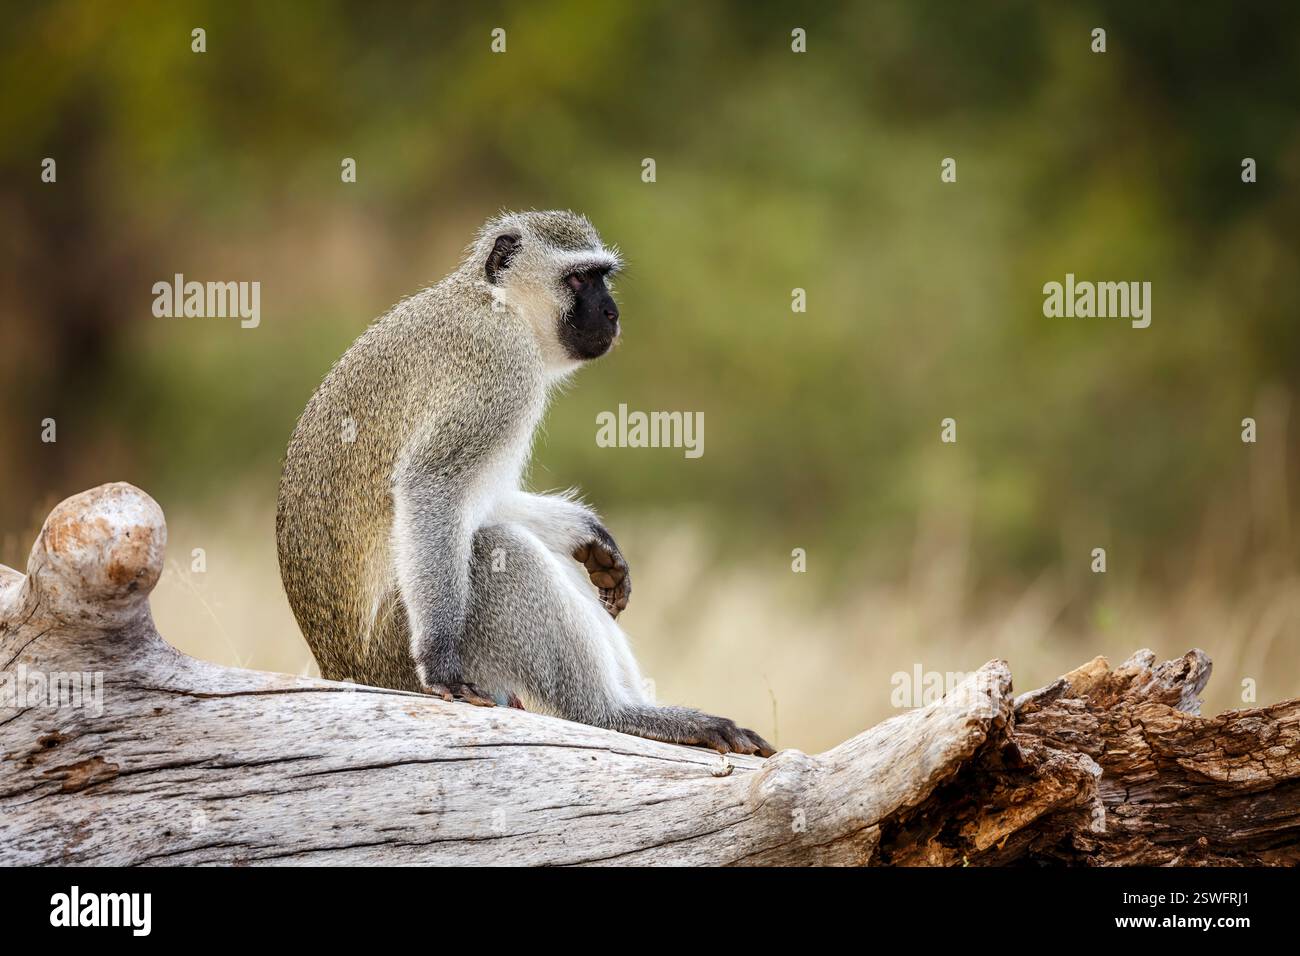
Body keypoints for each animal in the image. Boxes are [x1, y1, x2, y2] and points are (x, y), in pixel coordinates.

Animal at [276, 210, 774, 757]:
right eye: (578, 279)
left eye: (603, 277)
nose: (612, 313)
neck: (497, 301)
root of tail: (343, 670)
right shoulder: (501, 368)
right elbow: (434, 487)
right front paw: (440, 662)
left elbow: (484, 500)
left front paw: (588, 533)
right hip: (398, 652)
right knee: (499, 549)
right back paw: (616, 715)